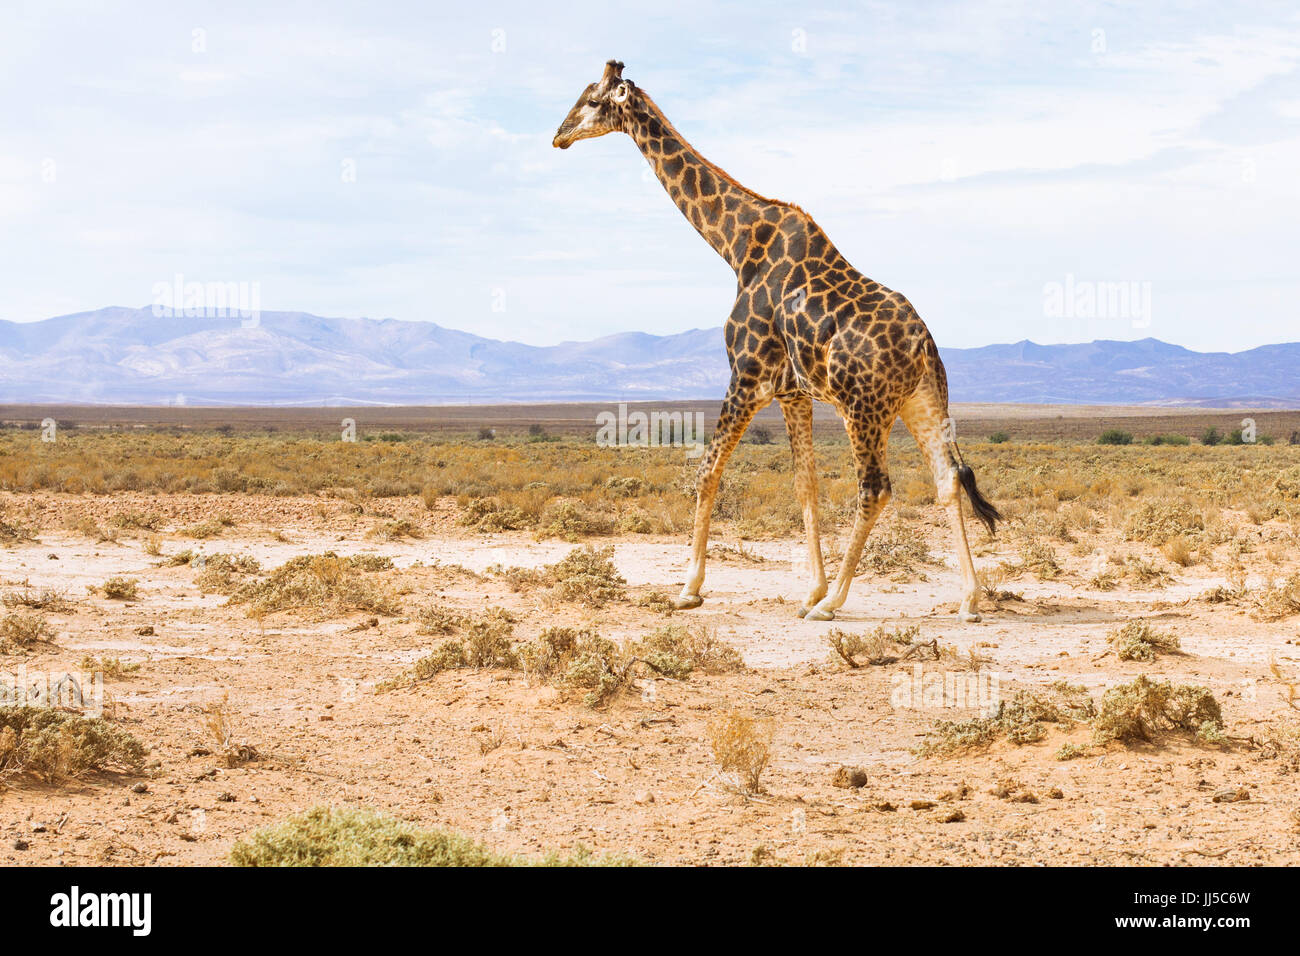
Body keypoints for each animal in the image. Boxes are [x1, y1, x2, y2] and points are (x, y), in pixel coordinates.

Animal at [553, 60, 1001, 622]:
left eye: (592, 100)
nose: (559, 136)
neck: (736, 245)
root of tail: (924, 344)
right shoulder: (792, 392)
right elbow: (804, 485)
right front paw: (808, 587)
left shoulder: (746, 376)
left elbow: (707, 473)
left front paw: (690, 588)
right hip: (920, 400)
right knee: (947, 480)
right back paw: (967, 600)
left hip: (864, 407)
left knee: (875, 489)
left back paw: (833, 604)